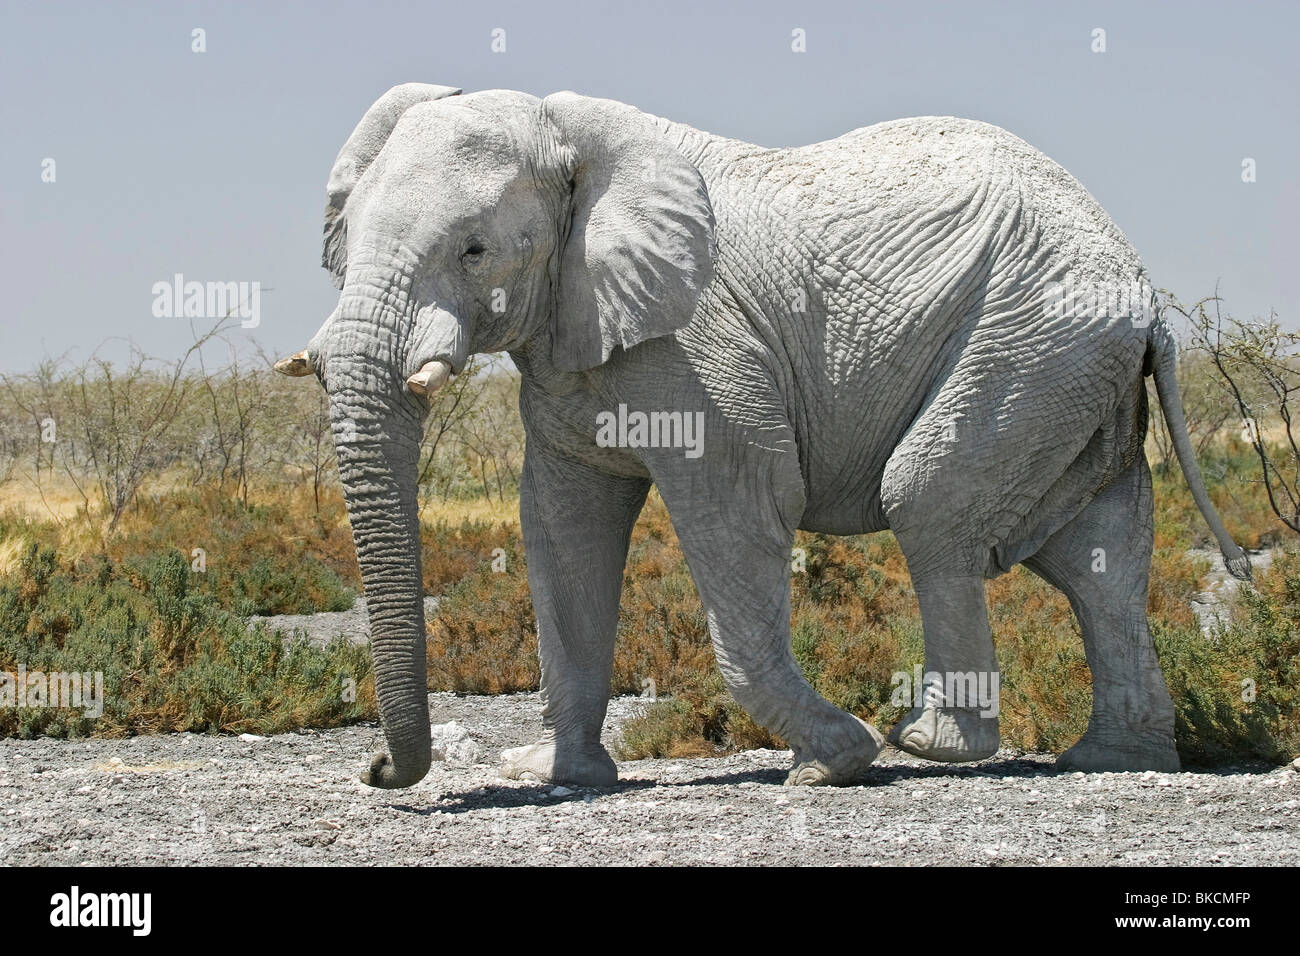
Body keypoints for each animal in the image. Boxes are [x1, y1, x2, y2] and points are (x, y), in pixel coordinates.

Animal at [276, 83, 1250, 789]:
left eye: (474, 250)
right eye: (342, 244)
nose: (375, 767)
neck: (567, 135)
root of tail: (1143, 289)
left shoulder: (700, 346)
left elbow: (739, 509)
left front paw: (835, 763)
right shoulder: (567, 345)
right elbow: (561, 529)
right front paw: (558, 775)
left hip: (1032, 339)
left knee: (931, 503)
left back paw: (928, 746)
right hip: (1071, 367)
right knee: (1098, 558)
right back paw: (1114, 760)